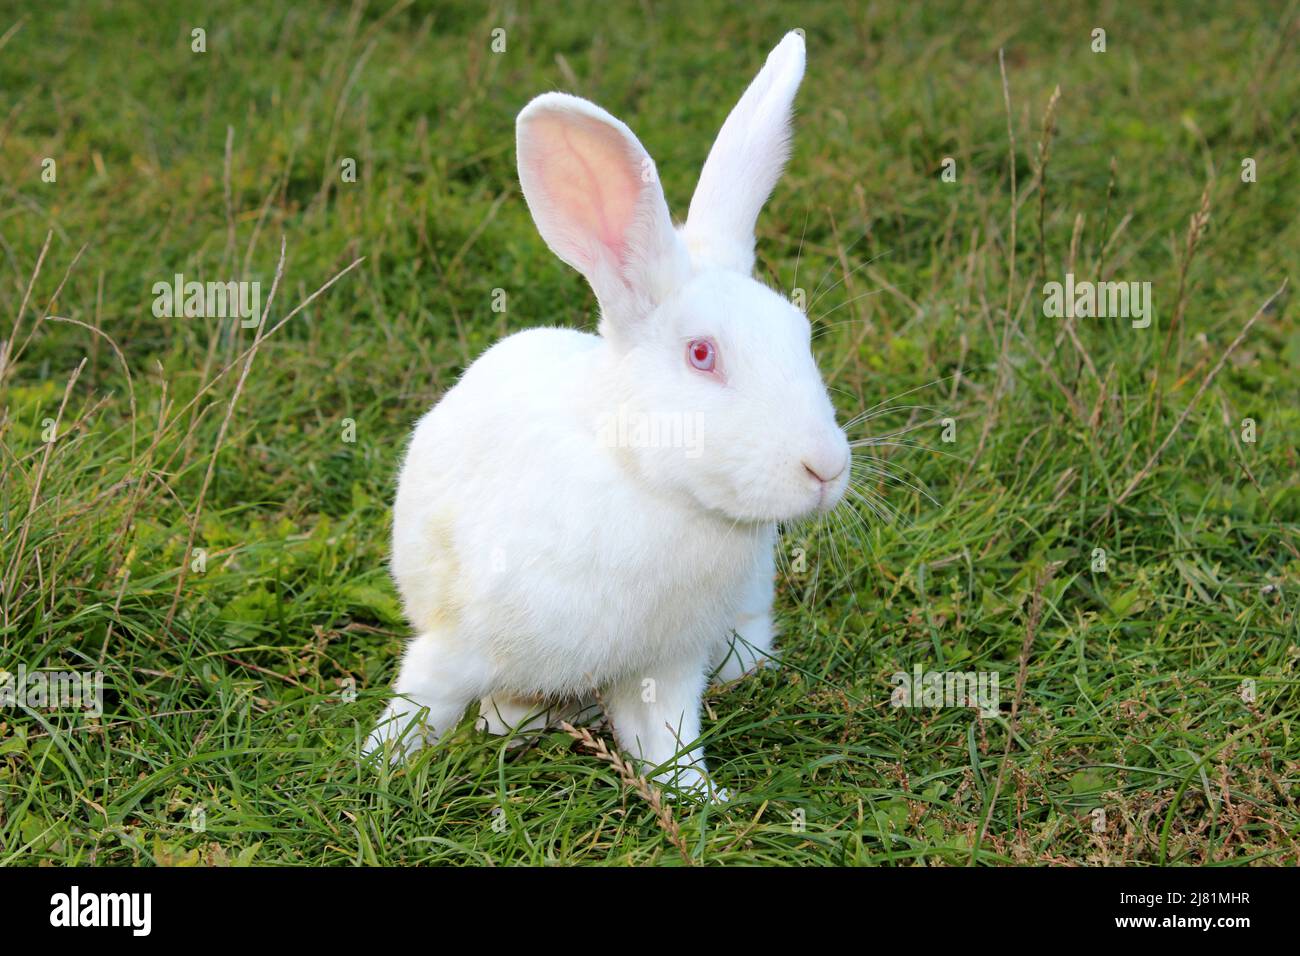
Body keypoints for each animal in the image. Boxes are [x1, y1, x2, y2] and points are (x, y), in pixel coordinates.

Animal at [366, 31, 849, 799]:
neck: (649, 484)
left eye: (802, 334)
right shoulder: (457, 642)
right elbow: (425, 700)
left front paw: (700, 798)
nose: (826, 468)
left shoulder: (668, 666)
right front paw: (376, 771)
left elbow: (668, 739)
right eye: (702, 354)